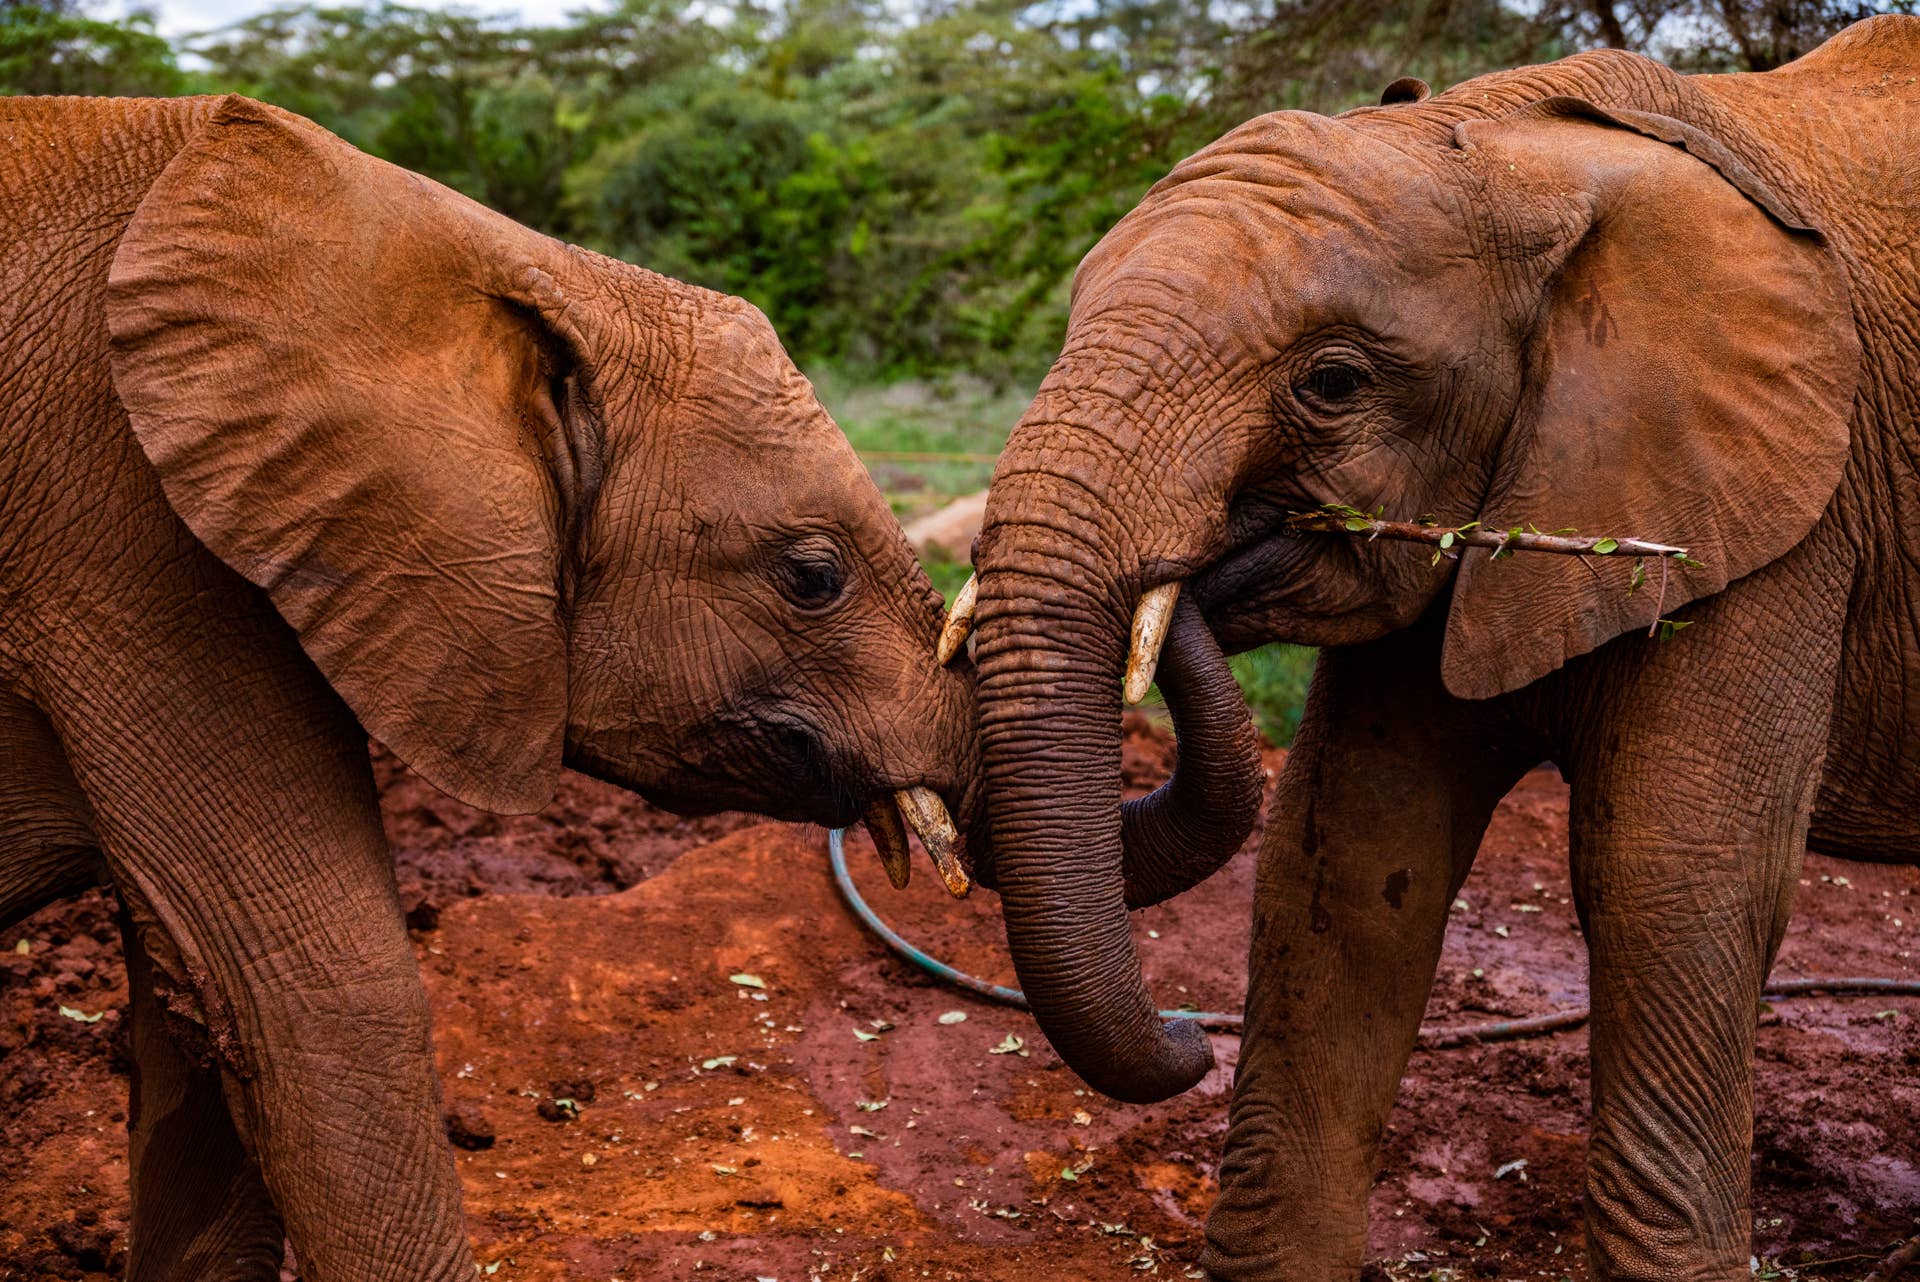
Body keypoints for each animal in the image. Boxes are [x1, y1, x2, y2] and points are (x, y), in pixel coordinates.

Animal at [952, 16, 1920, 1281]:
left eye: (1332, 382)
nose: (1187, 1031)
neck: (1513, 144)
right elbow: (1347, 859)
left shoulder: (1791, 511)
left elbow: (1670, 877)